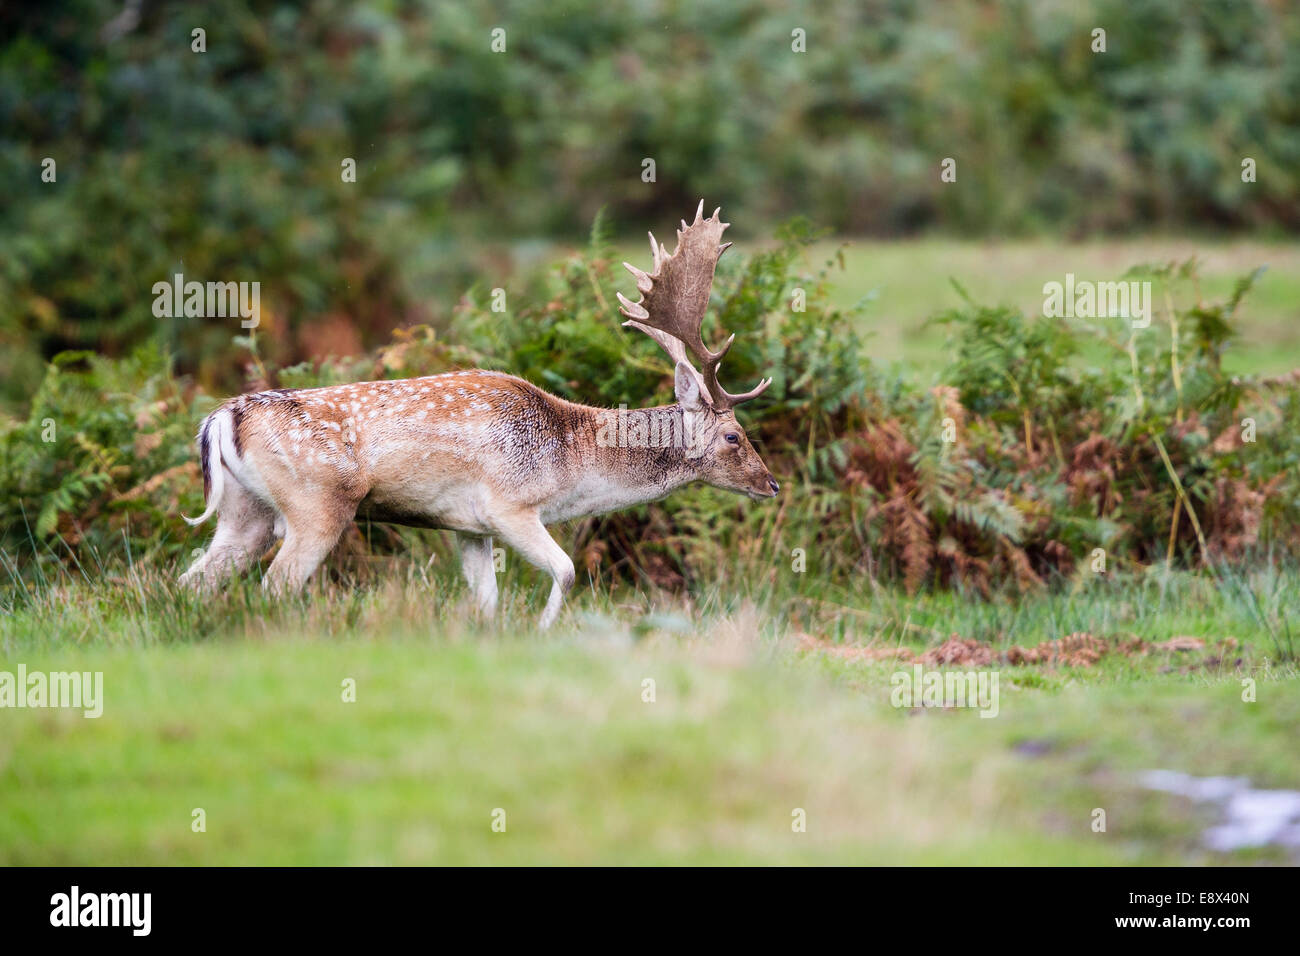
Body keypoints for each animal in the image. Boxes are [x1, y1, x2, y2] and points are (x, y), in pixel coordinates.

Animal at [179, 202, 779, 628]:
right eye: (734, 435)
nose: (772, 484)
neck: (570, 459)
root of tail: (221, 419)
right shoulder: (507, 504)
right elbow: (566, 571)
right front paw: (541, 632)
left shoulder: (468, 527)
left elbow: (486, 601)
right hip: (316, 503)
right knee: (274, 586)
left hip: (244, 512)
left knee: (193, 583)